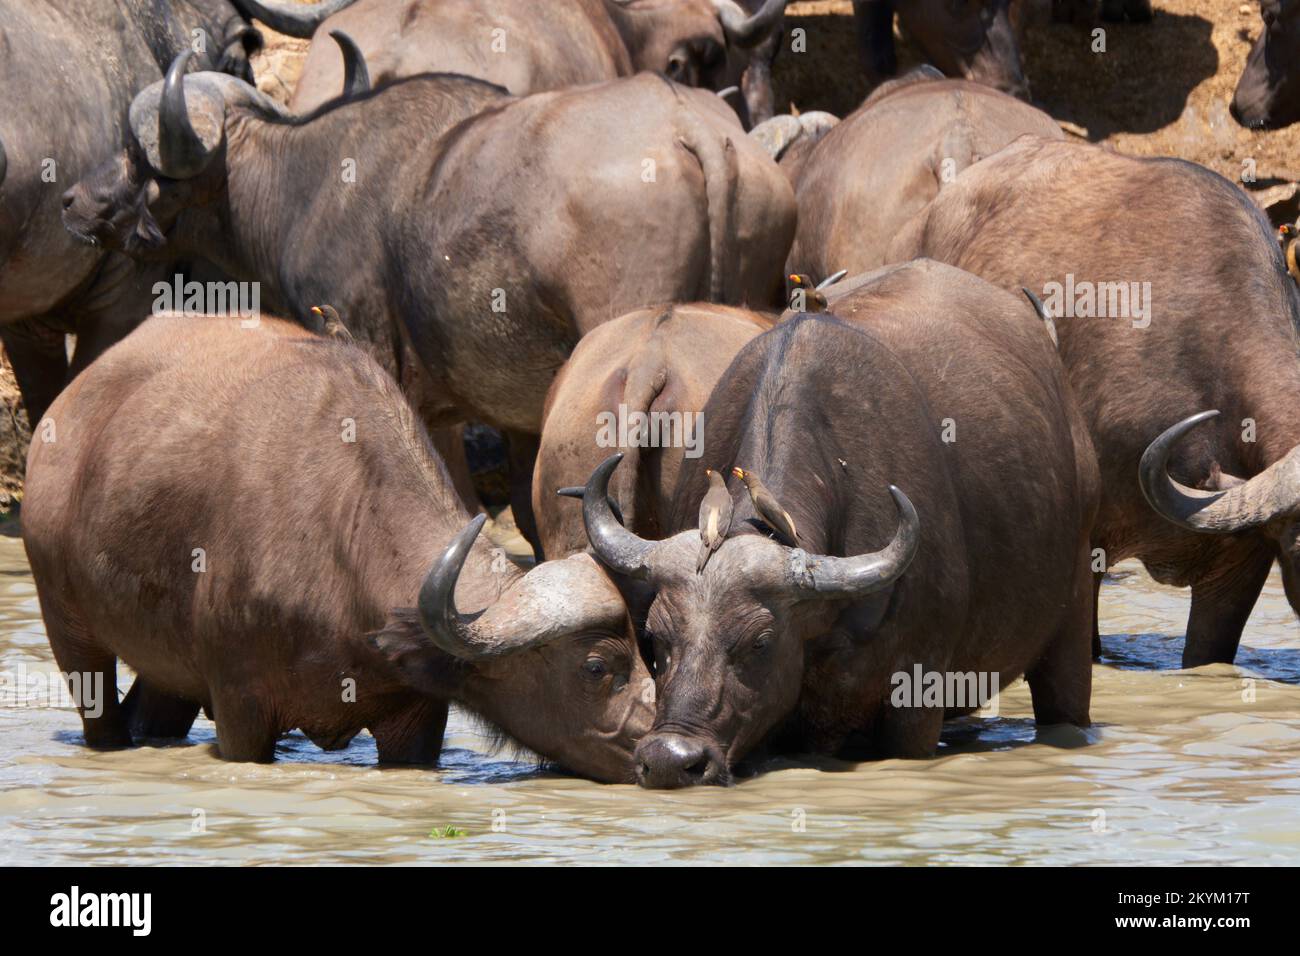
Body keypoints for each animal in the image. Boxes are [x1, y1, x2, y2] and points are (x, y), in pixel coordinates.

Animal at [22, 311, 653, 781]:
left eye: (646, 647)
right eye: (597, 666)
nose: (664, 752)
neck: (343, 543)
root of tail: (63, 412)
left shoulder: (416, 718)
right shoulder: (240, 710)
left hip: (165, 663)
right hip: (67, 627)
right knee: (101, 712)